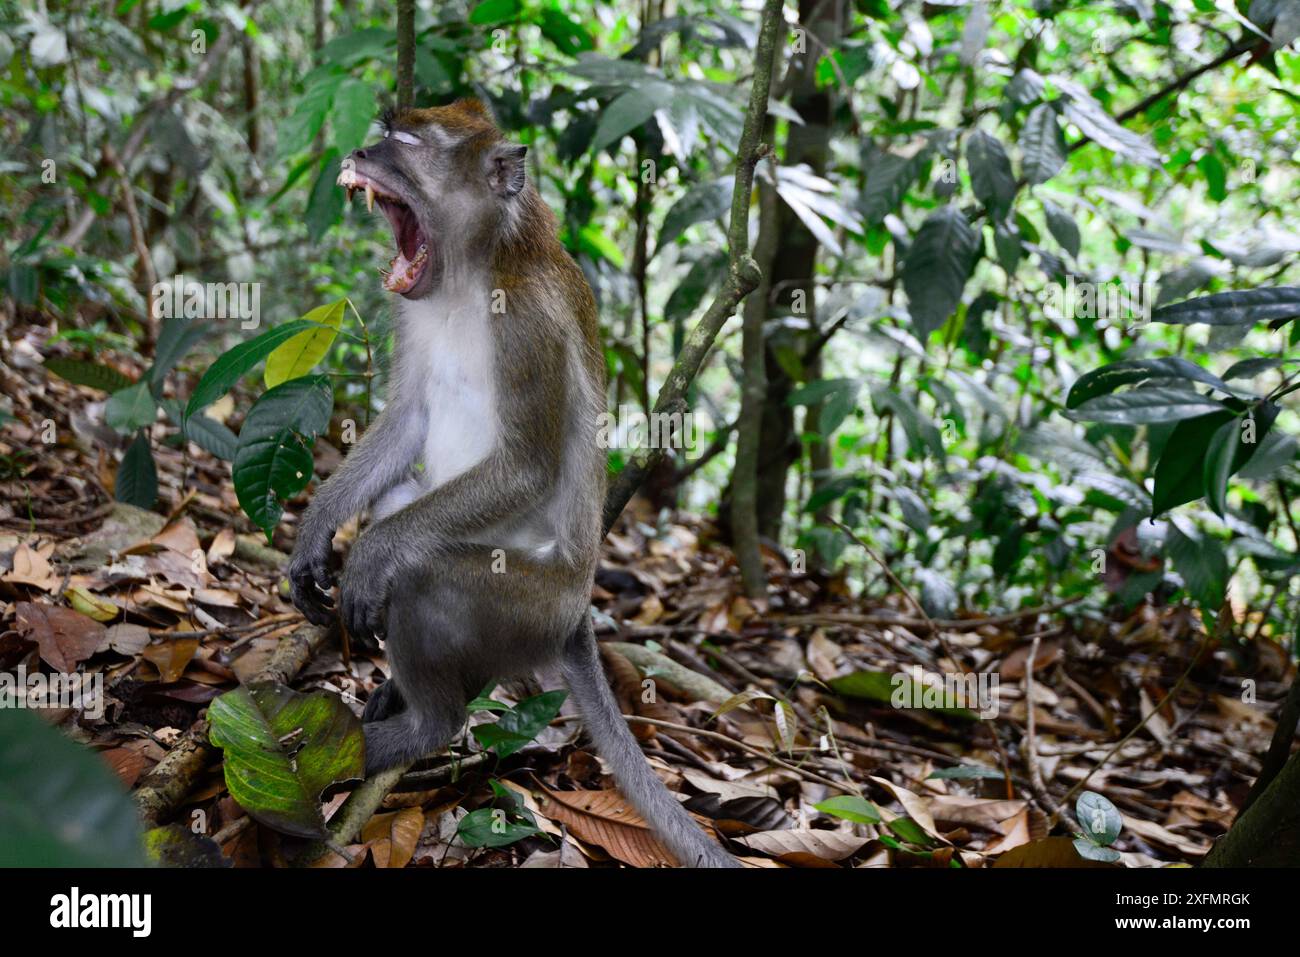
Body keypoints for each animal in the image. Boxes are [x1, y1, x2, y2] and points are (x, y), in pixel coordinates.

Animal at [287, 98, 739, 868]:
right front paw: (316, 531)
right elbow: (407, 419)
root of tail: (577, 610)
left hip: (526, 606)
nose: (361, 153)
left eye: (406, 143)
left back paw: (416, 726)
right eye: (383, 132)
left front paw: (367, 559)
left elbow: (525, 465)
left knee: (423, 578)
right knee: (400, 502)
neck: (470, 273)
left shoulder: (527, 322)